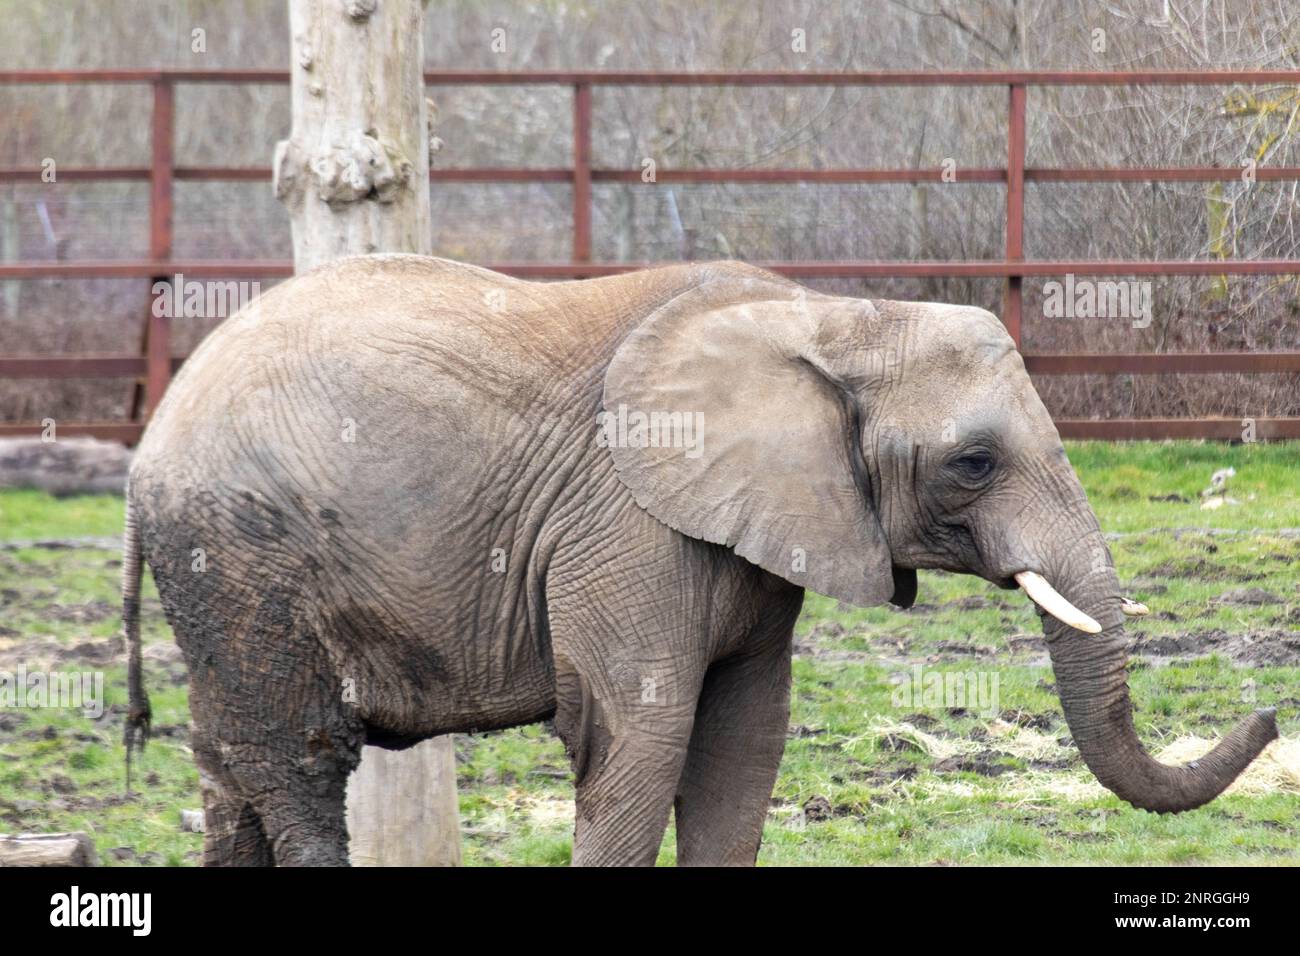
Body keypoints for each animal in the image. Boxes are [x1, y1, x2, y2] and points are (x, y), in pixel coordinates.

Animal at [121, 254, 1277, 866]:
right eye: (974, 462)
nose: (1271, 711)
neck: (829, 315)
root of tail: (147, 446)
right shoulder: (627, 525)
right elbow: (640, 732)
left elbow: (742, 736)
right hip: (244, 552)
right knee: (302, 758)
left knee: (231, 768)